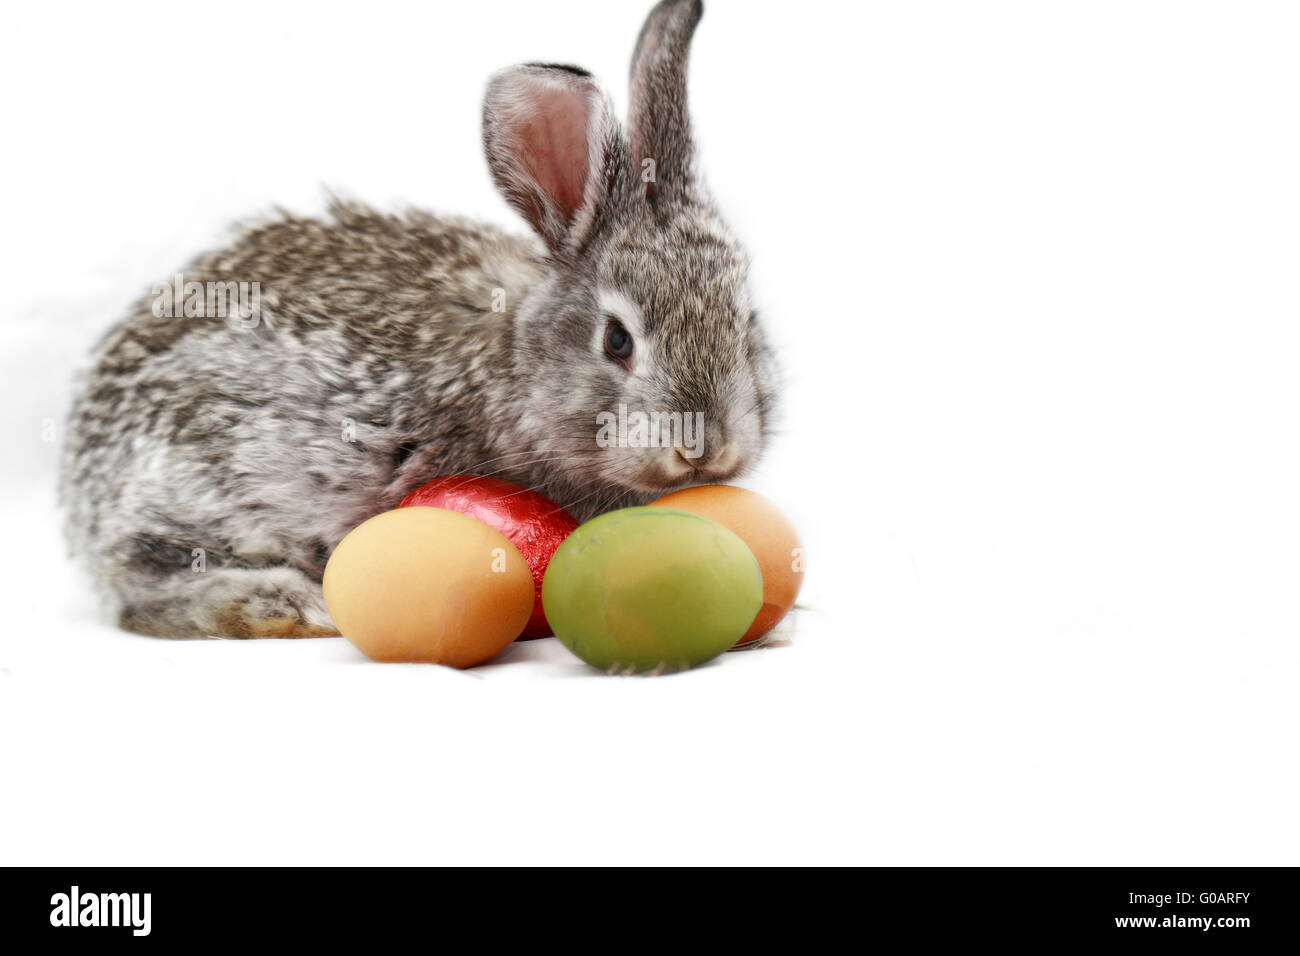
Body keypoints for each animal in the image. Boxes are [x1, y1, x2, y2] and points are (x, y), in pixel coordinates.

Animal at [59, 0, 779, 639]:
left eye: (746, 322)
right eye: (618, 340)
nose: (702, 445)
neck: (516, 365)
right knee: (141, 586)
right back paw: (279, 606)